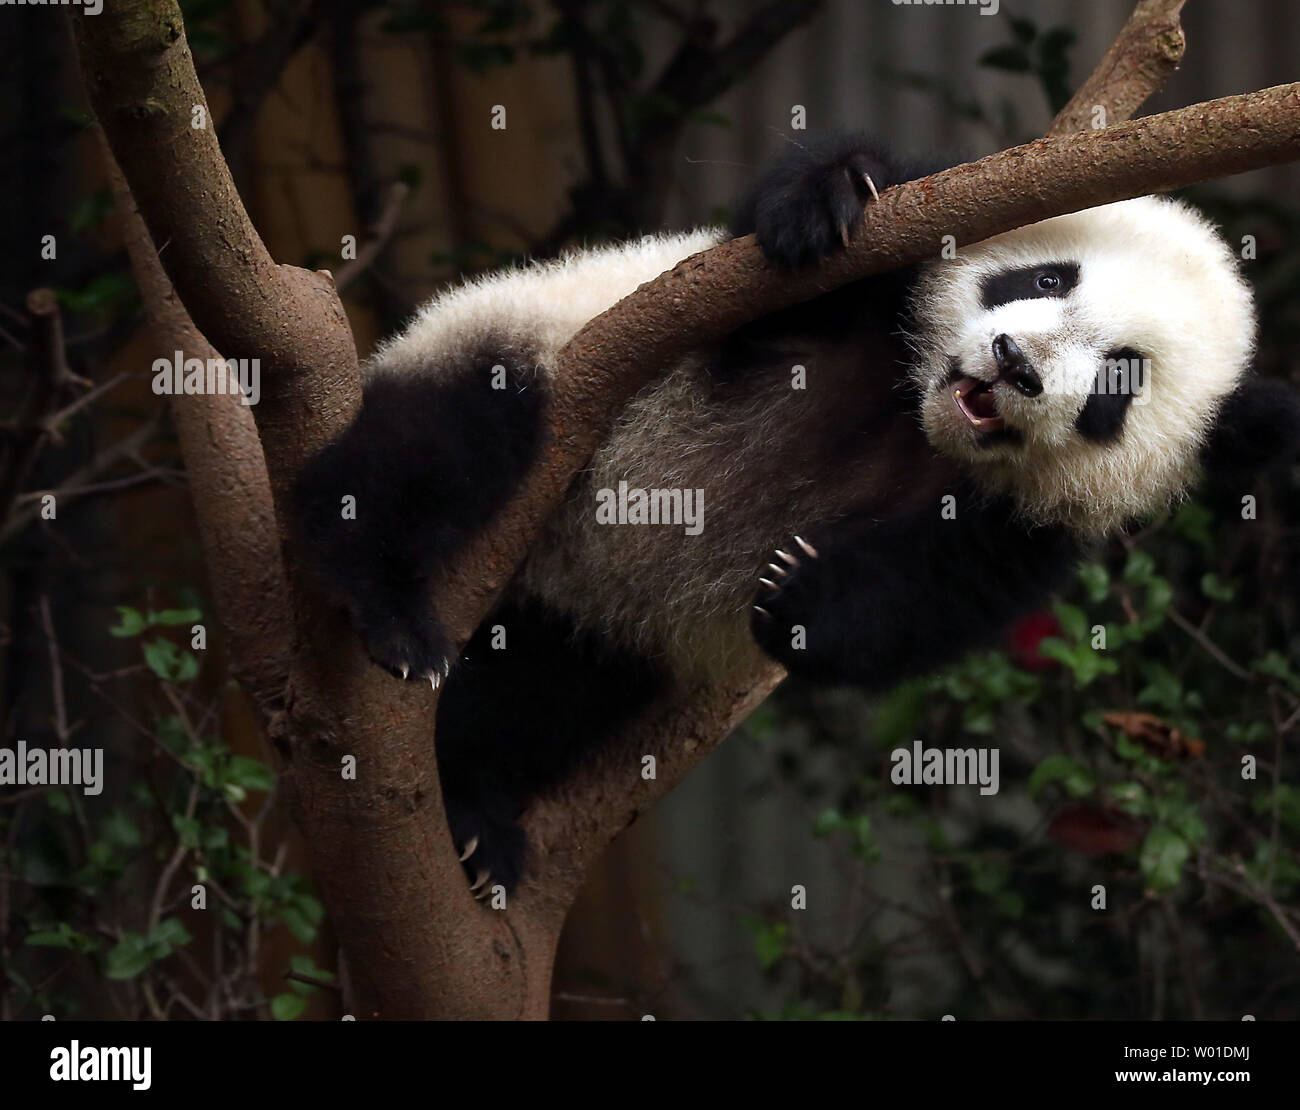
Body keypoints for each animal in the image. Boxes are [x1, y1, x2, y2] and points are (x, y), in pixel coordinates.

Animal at [291, 134, 1300, 893]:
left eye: (1120, 379)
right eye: (1048, 279)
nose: (1015, 363)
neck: (914, 415)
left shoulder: (1024, 526)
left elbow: (924, 599)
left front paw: (799, 600)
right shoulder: (757, 321)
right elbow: (772, 272)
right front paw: (831, 198)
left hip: (578, 625)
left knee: (542, 689)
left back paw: (474, 811)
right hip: (533, 357)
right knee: (450, 436)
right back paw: (385, 602)